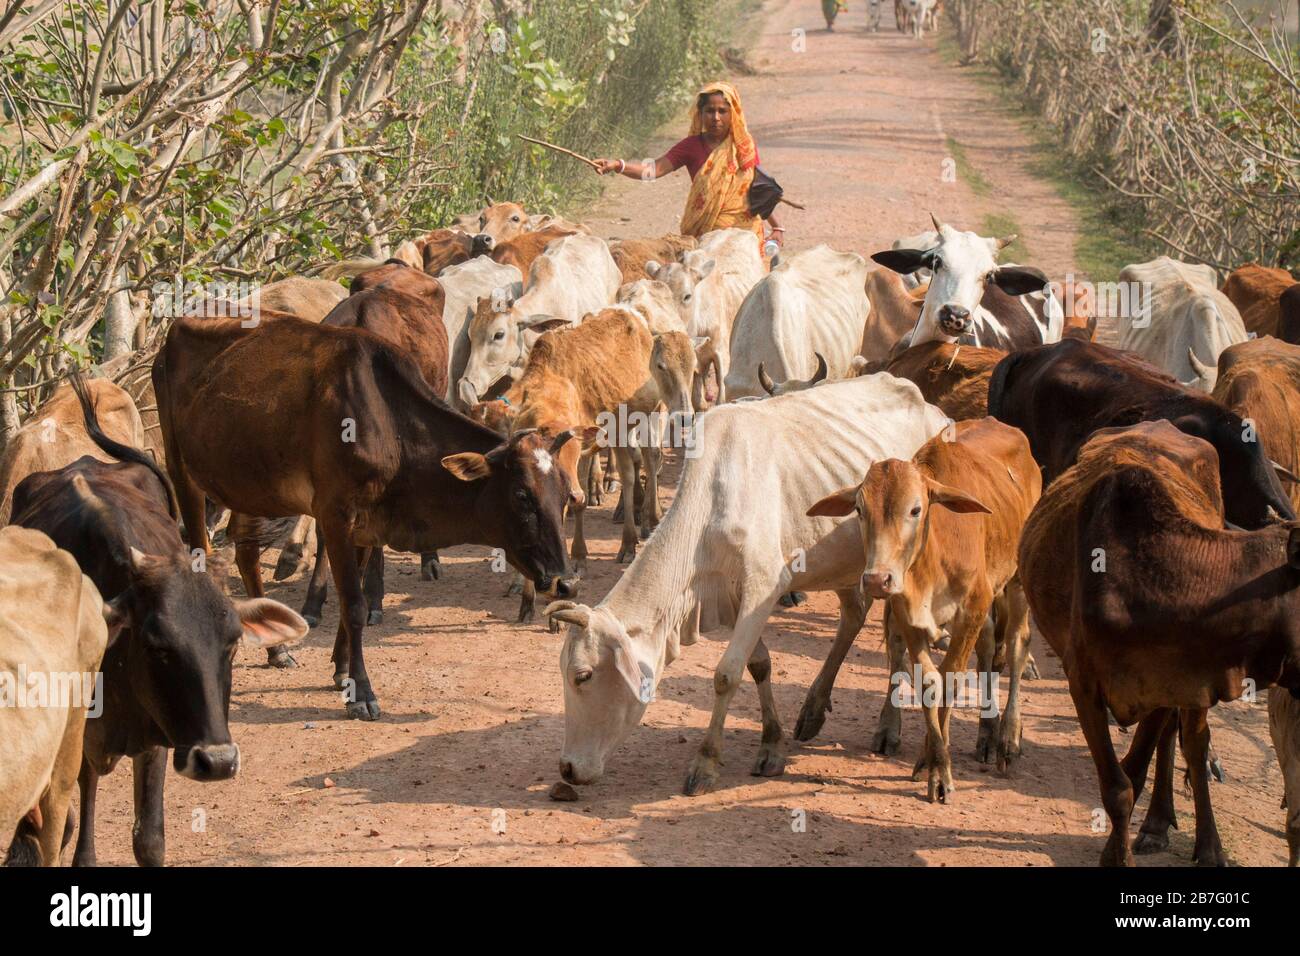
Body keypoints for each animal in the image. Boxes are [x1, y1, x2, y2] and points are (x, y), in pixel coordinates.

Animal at [153, 312, 581, 720]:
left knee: (245, 551)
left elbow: (349, 600)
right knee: (201, 554)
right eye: (523, 495)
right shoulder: (336, 515)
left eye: (565, 496)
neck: (390, 426)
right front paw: (361, 693)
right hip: (183, 471)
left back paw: (277, 651)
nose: (567, 583)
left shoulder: (364, 527)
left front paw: (341, 670)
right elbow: (355, 606)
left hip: (246, 483)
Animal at [545, 374, 949, 793]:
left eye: (583, 675)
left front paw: (706, 762)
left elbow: (727, 674)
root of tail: (931, 408)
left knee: (895, 640)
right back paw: (813, 710)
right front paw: (772, 744)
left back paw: (888, 727)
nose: (567, 769)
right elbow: (759, 665)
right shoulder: (735, 598)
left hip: (894, 571)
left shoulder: (763, 586)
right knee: (854, 615)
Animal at [807, 417, 1040, 800]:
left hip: (1017, 579)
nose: (877, 579)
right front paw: (933, 762)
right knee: (986, 647)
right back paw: (986, 733)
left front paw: (938, 771)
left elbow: (950, 681)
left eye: (915, 509)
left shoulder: (971, 609)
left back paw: (1008, 737)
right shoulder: (908, 615)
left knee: (1017, 645)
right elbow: (930, 682)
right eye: (859, 509)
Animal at [1018, 420, 1300, 866]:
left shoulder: (1177, 684)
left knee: (1192, 744)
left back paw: (1201, 841)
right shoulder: (1083, 685)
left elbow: (1136, 771)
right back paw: (1156, 824)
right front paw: (1117, 855)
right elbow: (1117, 786)